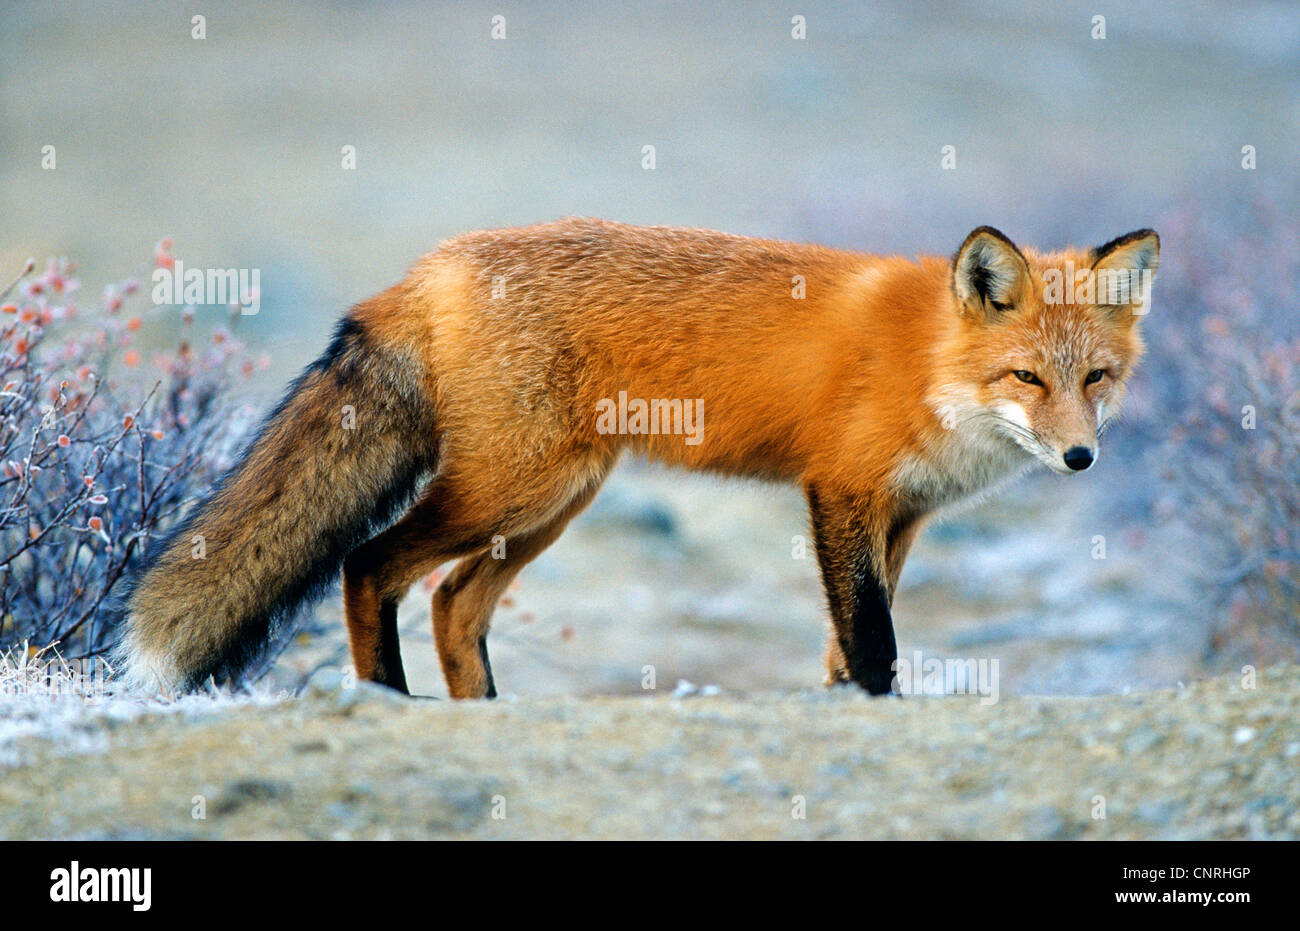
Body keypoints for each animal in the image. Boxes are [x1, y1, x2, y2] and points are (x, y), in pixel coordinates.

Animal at [117, 218, 1159, 698]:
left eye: (1096, 378)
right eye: (1026, 376)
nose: (1080, 457)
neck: (927, 363)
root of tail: (427, 268)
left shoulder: (897, 520)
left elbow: (846, 641)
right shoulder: (841, 495)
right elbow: (873, 639)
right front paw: (877, 709)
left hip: (552, 504)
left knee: (454, 604)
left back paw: (480, 714)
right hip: (507, 491)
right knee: (368, 564)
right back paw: (389, 702)